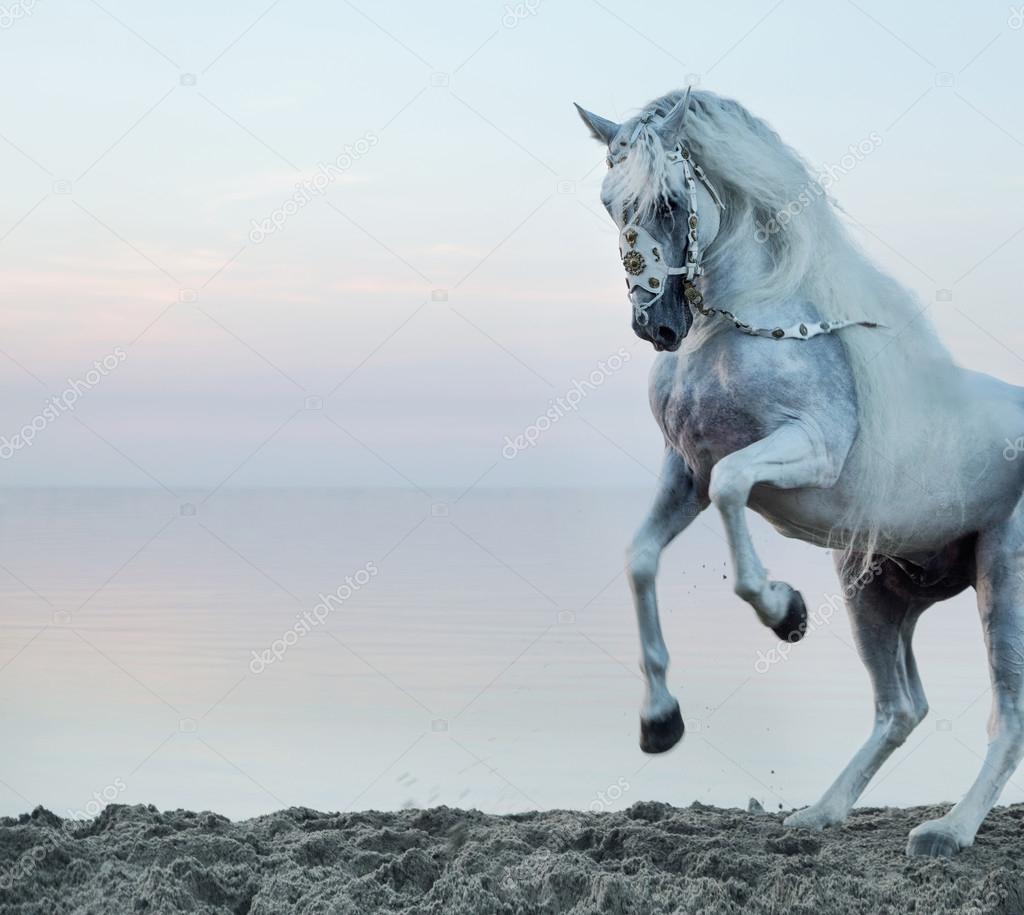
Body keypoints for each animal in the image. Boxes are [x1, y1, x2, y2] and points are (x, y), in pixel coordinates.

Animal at [574, 88, 1024, 857]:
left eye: (668, 201)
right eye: (610, 202)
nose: (656, 326)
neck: (734, 329)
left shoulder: (802, 449)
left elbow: (734, 491)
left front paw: (783, 610)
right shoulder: (684, 473)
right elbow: (639, 558)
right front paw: (660, 720)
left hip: (1004, 577)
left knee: (1007, 712)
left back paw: (948, 831)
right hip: (876, 590)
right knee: (900, 707)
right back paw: (820, 813)